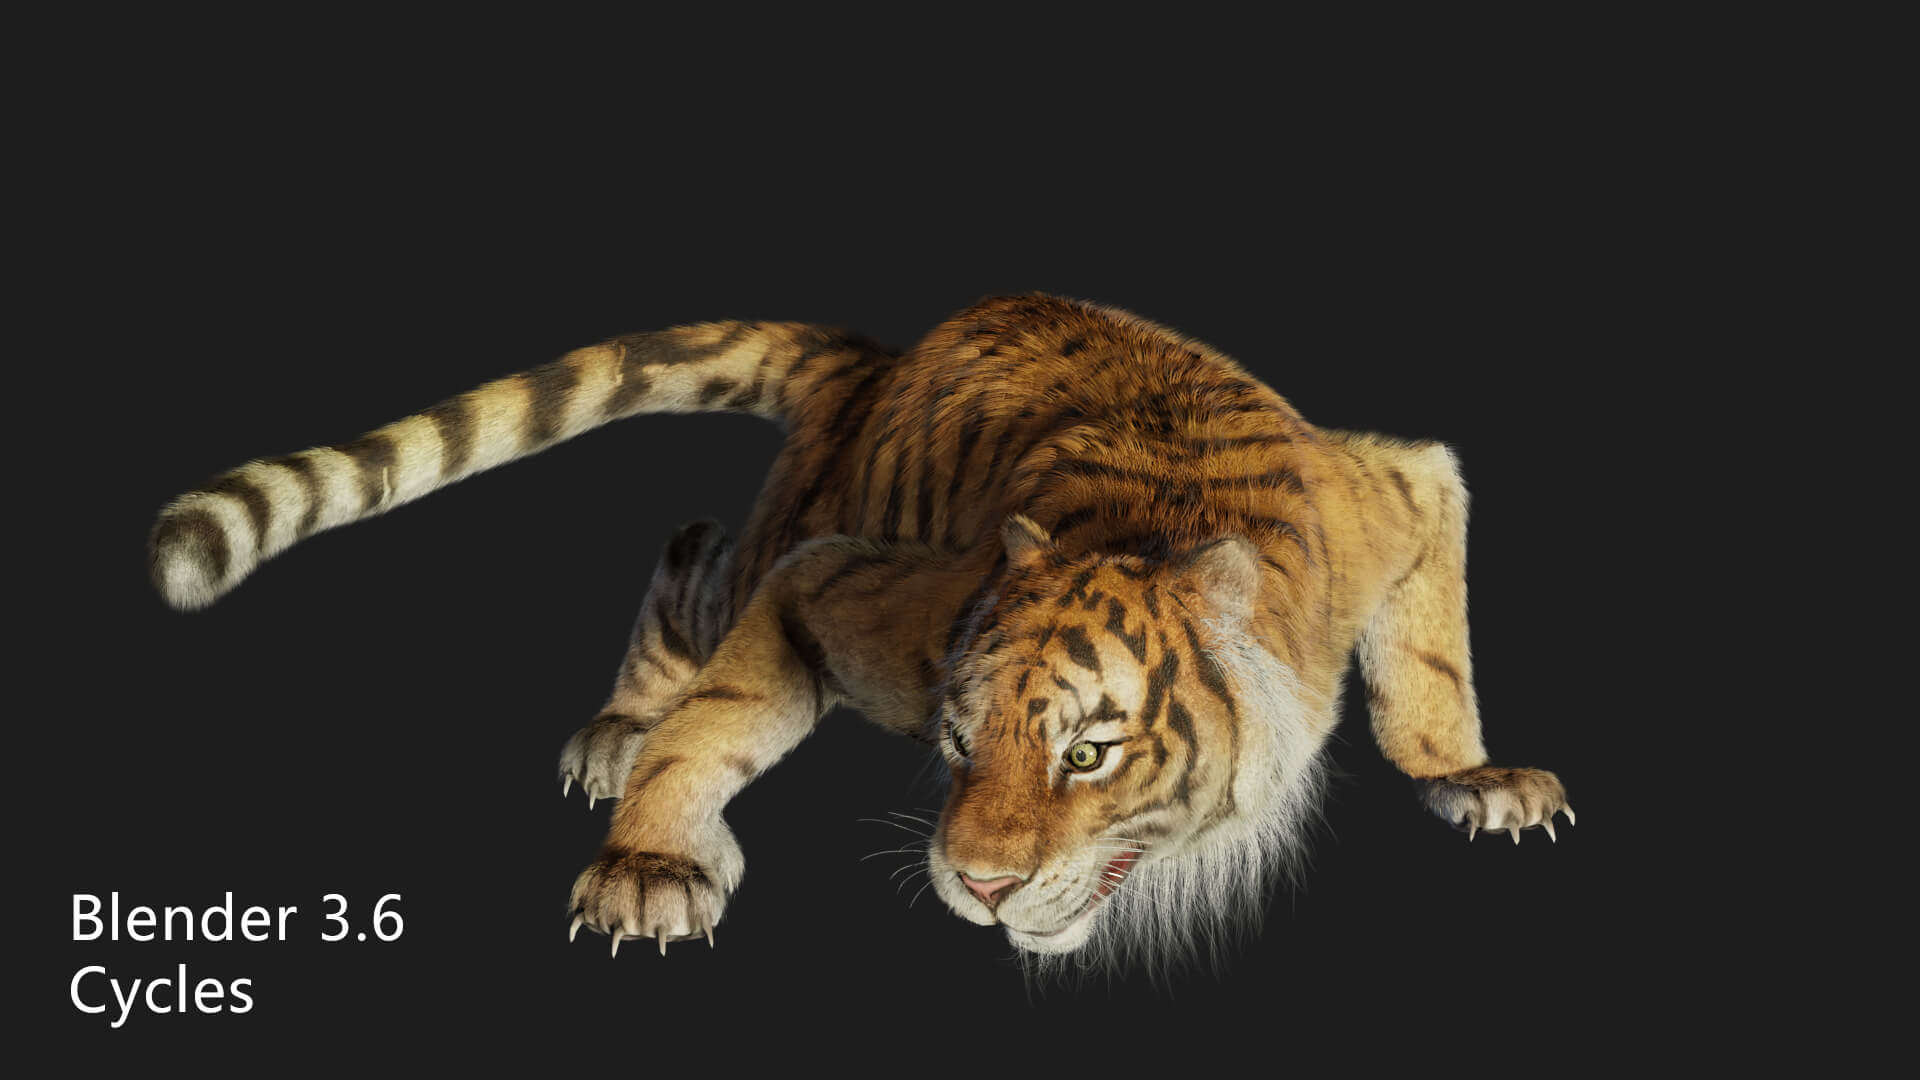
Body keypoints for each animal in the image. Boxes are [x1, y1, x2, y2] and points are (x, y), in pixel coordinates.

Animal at [148, 293, 1573, 972]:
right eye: (957, 745)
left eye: (1090, 755)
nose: (980, 887)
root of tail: (880, 365)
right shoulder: (836, 586)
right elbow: (716, 727)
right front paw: (649, 866)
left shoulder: (1405, 487)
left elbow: (1431, 664)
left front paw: (1474, 776)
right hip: (784, 537)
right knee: (692, 553)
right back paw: (619, 734)